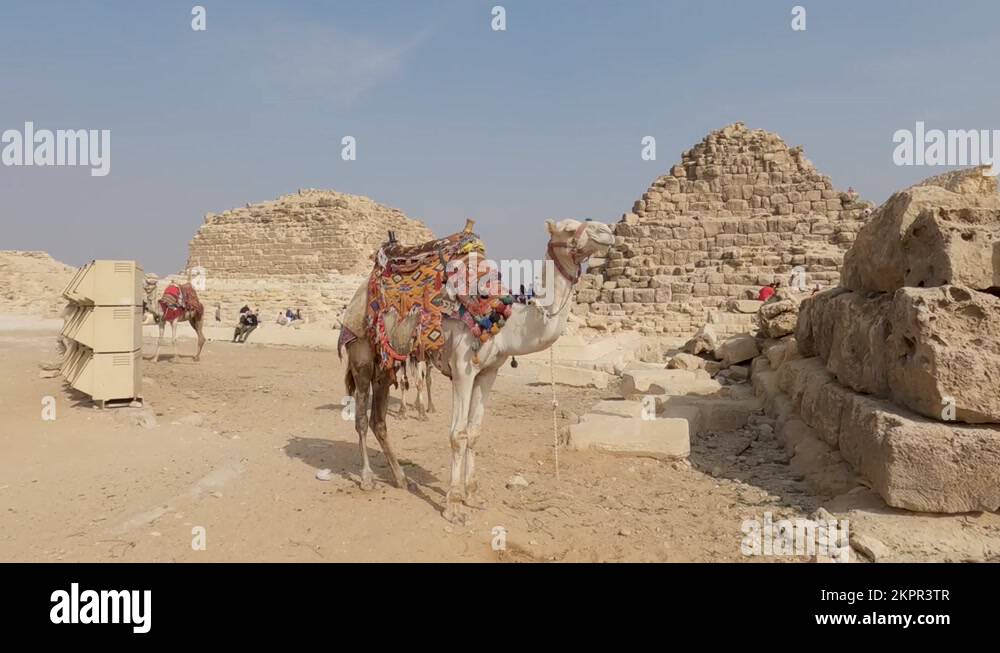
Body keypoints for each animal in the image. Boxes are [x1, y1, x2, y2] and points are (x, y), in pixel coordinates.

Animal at [343, 218, 614, 523]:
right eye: (568, 229)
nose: (607, 232)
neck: (506, 324)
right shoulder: (463, 369)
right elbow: (457, 434)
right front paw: (453, 505)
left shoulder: (488, 372)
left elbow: (474, 432)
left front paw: (472, 495)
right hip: (362, 355)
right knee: (361, 418)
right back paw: (368, 478)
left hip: (386, 365)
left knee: (379, 420)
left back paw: (402, 479)